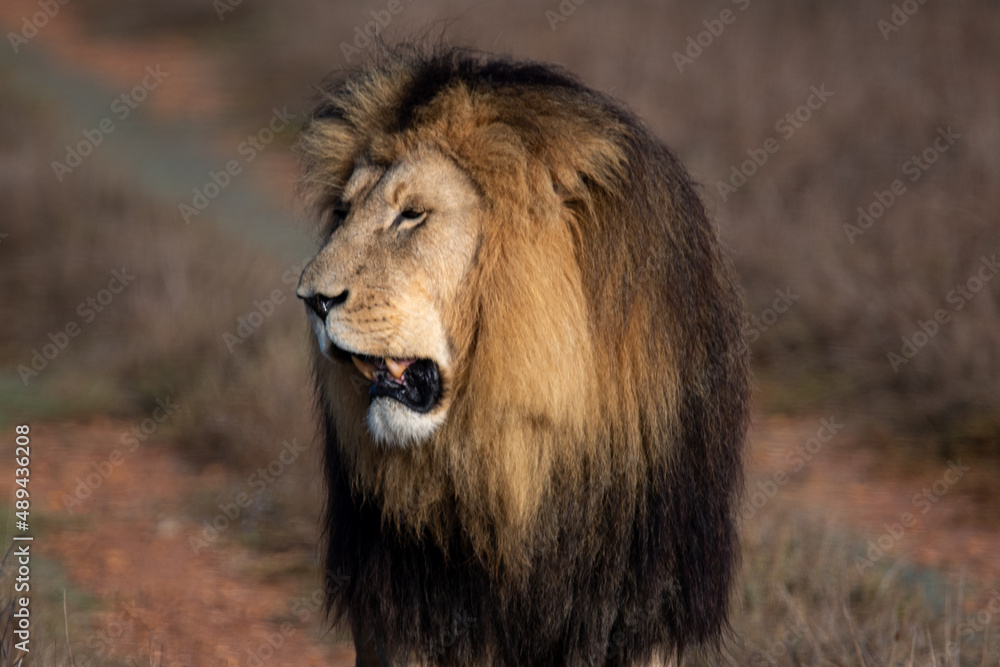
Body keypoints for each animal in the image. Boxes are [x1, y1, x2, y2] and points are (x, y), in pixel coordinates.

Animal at [295, 45, 749, 666]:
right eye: (342, 213)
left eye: (412, 214)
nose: (311, 298)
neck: (517, 467)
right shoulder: (409, 622)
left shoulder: (639, 616)